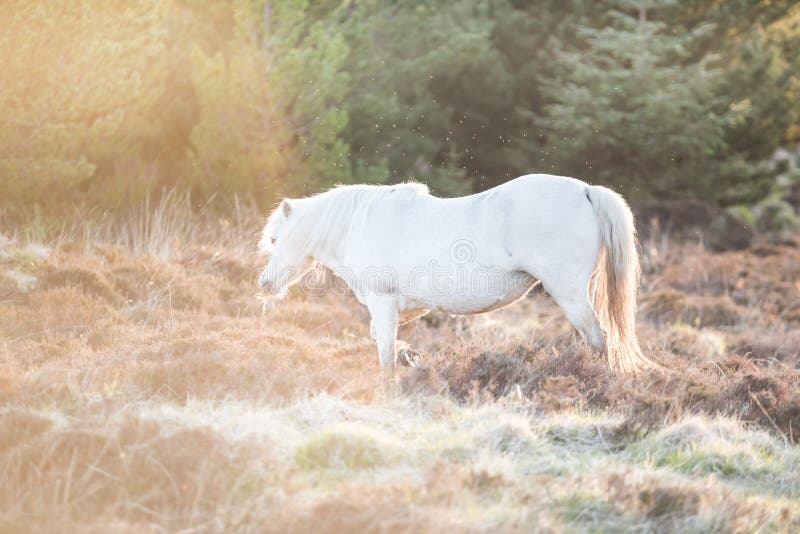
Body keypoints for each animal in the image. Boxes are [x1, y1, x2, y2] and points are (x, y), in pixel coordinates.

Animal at [256, 174, 654, 381]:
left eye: (275, 239)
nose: (264, 285)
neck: (360, 223)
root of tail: (586, 190)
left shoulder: (383, 304)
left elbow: (384, 353)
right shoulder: (402, 307)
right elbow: (383, 340)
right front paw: (410, 357)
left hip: (569, 293)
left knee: (598, 339)